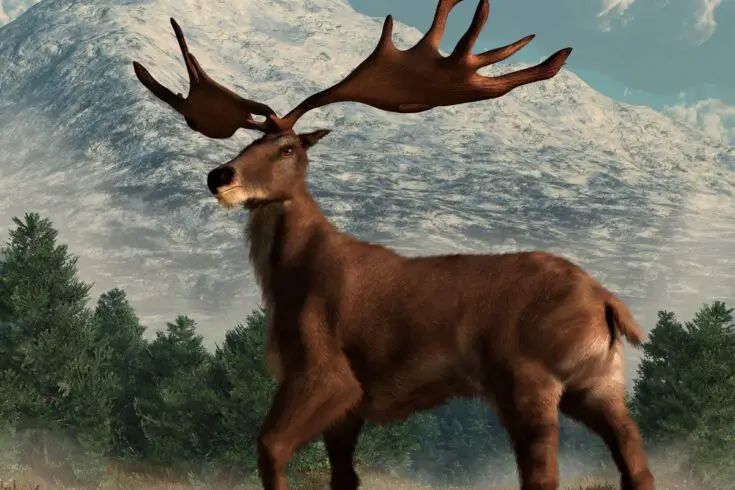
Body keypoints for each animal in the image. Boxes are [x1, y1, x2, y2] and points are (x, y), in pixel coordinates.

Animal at [132, 1, 654, 489]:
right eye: (243, 147)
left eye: (287, 149)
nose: (219, 176)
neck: (291, 279)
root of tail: (608, 301)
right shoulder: (348, 406)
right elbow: (343, 476)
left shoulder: (328, 373)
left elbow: (269, 447)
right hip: (600, 382)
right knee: (635, 459)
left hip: (529, 374)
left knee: (544, 472)